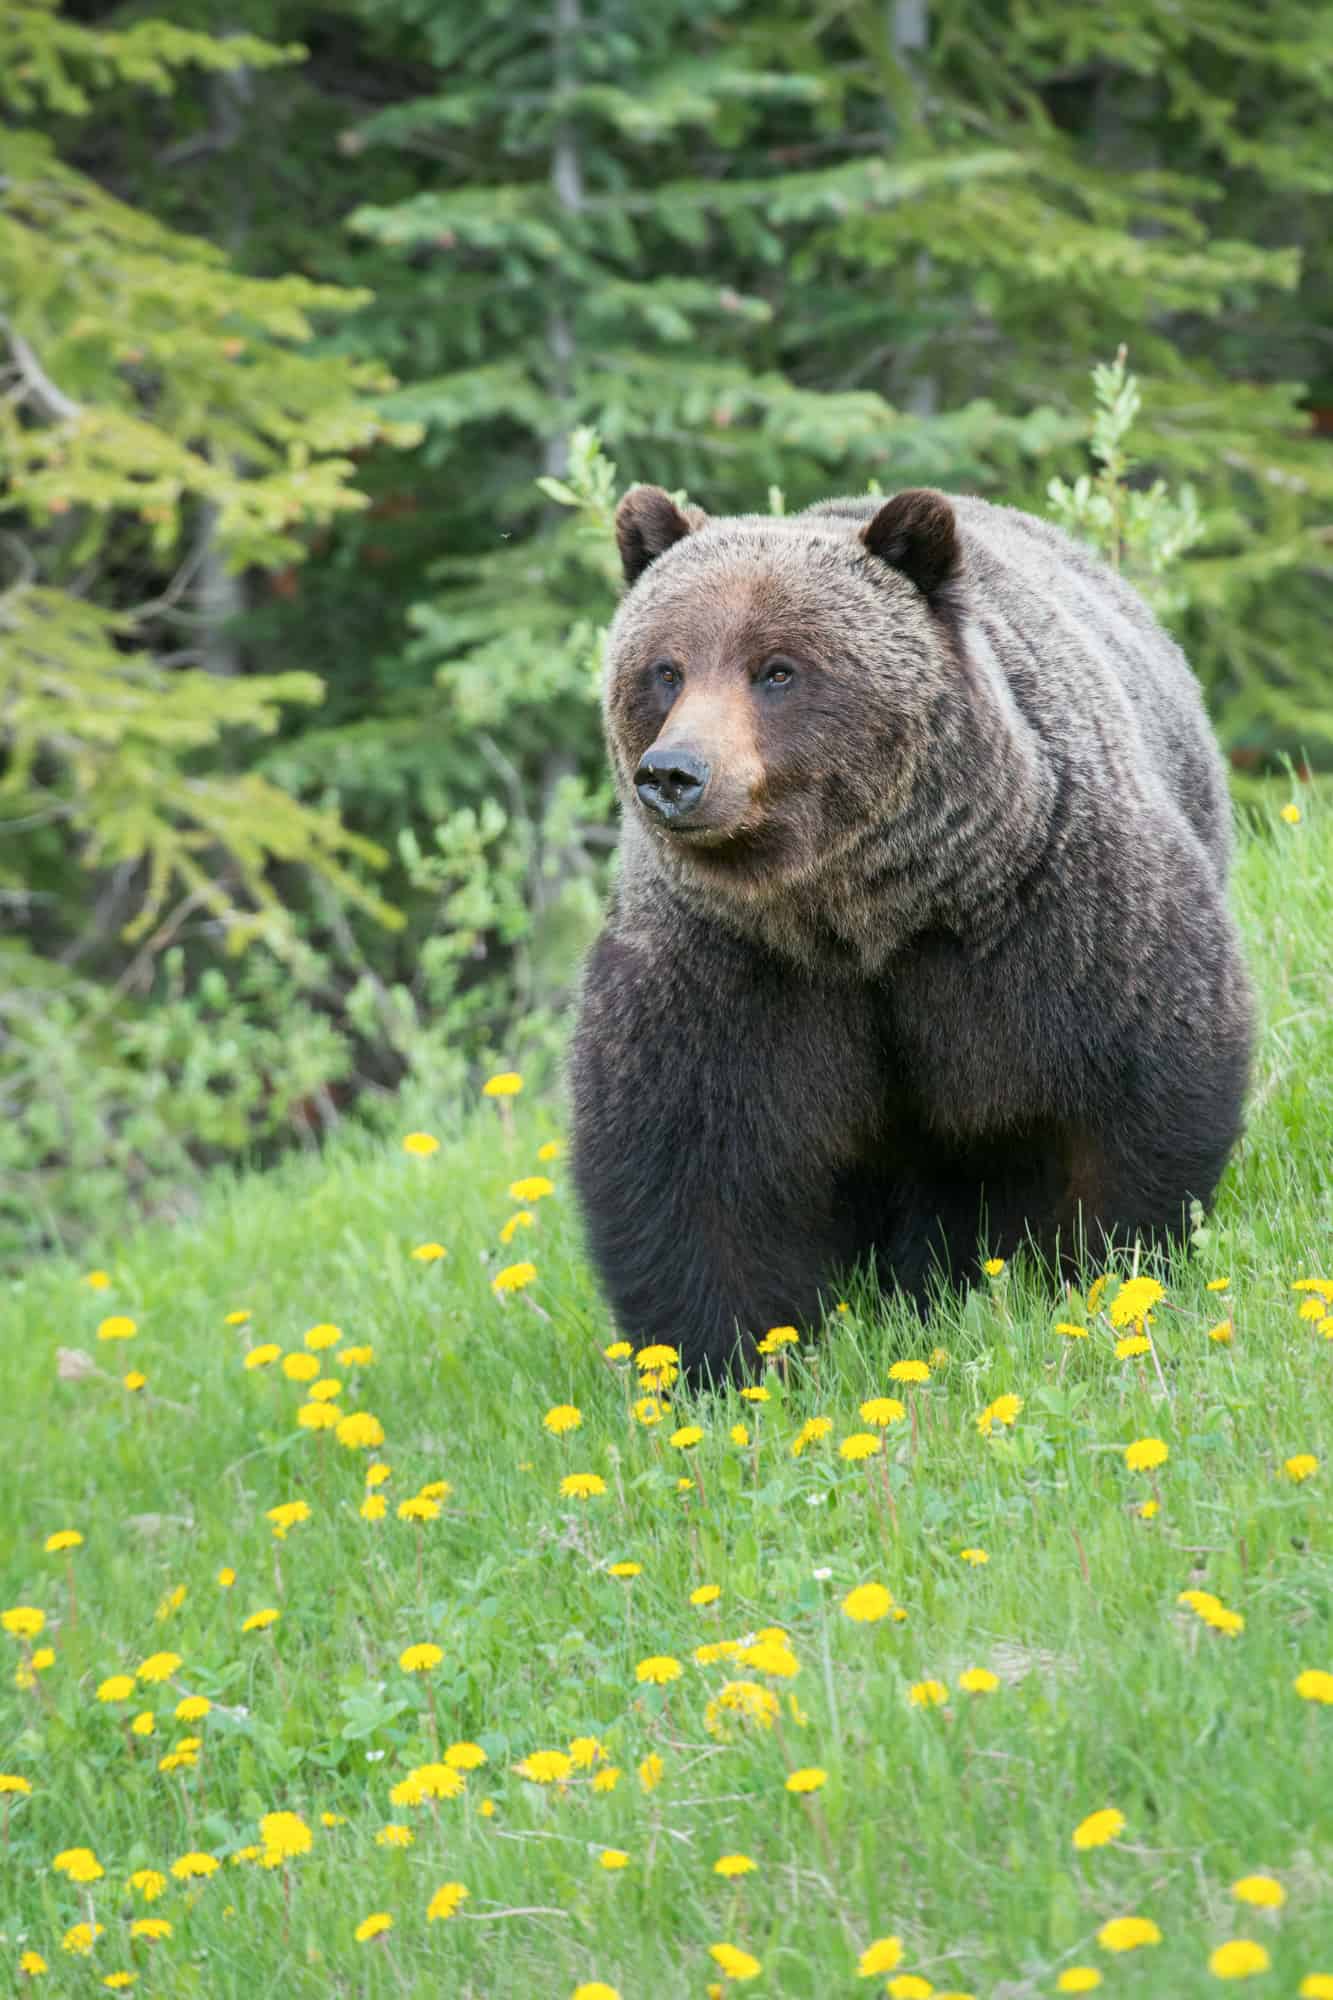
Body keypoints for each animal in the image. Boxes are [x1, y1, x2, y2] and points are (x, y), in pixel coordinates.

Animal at [570, 483, 1254, 1379]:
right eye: (665, 668)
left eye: (777, 668)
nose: (675, 774)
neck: (863, 913)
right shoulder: (727, 964)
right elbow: (690, 1161)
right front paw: (728, 1359)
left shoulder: (1049, 916)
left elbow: (1135, 1078)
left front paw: (1105, 1264)